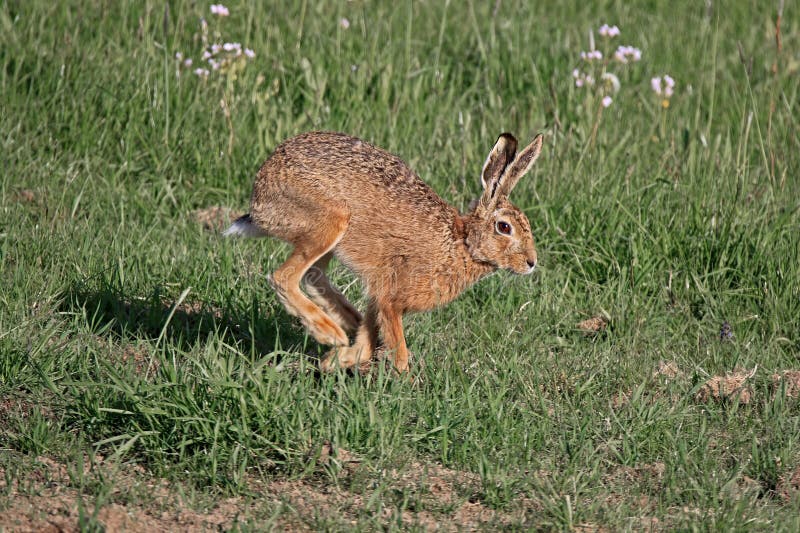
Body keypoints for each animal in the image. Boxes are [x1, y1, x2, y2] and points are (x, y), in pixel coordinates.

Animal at [224, 131, 543, 374]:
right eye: (504, 227)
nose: (531, 263)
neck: (461, 243)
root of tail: (260, 196)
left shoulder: (377, 295)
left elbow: (368, 335)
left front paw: (338, 360)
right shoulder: (391, 298)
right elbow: (399, 350)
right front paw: (404, 382)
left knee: (312, 276)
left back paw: (344, 324)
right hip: (330, 221)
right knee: (284, 277)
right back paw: (329, 332)